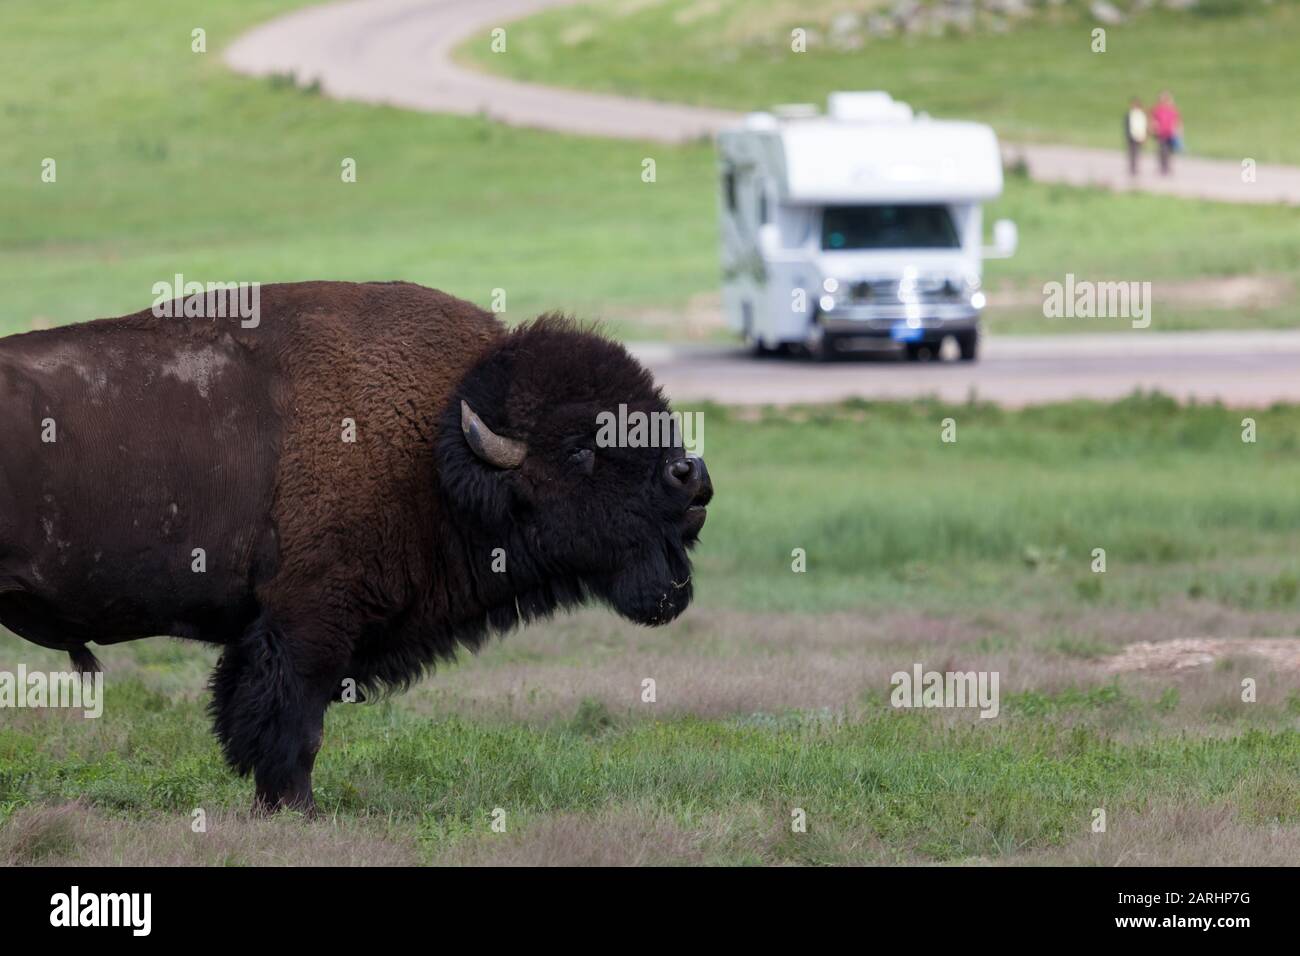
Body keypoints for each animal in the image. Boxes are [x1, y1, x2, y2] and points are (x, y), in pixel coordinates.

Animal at [0, 281, 712, 811]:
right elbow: (294, 727)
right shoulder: (309, 623)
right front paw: (294, 809)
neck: (434, 439)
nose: (691, 478)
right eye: (581, 449)